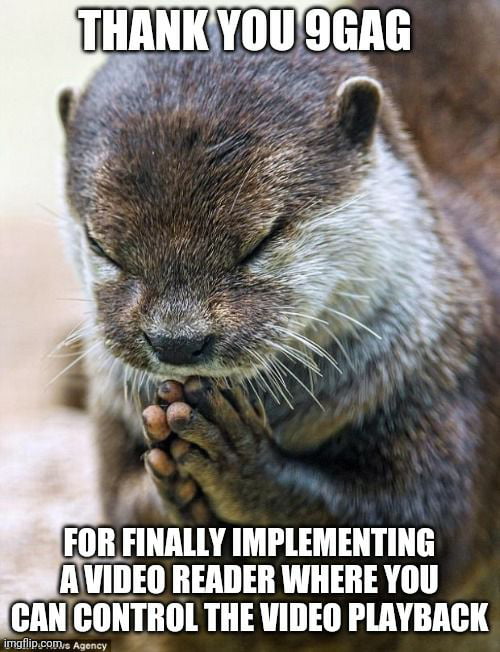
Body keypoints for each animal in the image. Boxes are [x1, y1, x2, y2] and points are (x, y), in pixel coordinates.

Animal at [58, 1, 499, 648]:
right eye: (102, 246)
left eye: (261, 241)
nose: (177, 341)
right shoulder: (112, 412)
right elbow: (119, 513)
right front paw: (175, 498)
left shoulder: (450, 373)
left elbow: (423, 528)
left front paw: (237, 461)